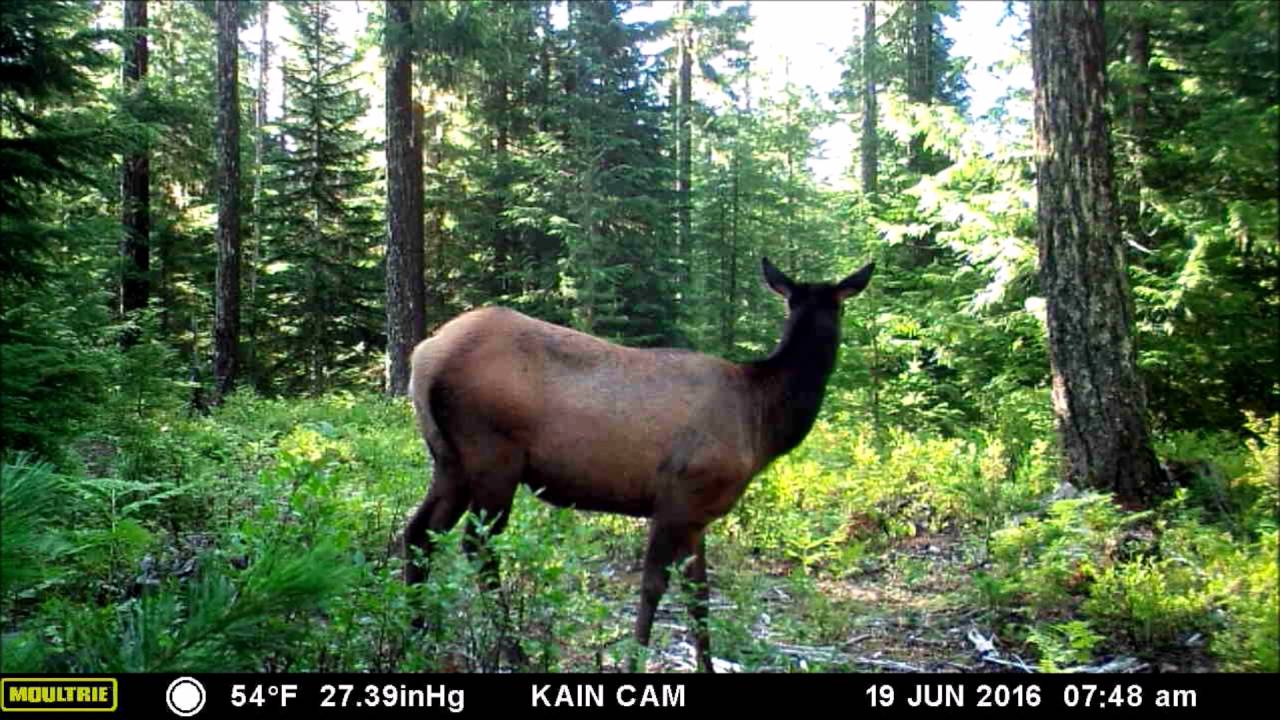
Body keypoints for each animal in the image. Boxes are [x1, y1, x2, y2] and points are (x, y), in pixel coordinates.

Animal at [401, 257, 874, 672]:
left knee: (420, 532)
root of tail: (421, 357)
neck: (761, 421)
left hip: (449, 461)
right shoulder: (677, 498)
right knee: (475, 547)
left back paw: (418, 634)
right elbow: (652, 588)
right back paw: (514, 651)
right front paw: (634, 660)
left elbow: (700, 596)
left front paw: (707, 665)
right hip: (493, 457)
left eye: (834, 304)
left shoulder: (699, 515)